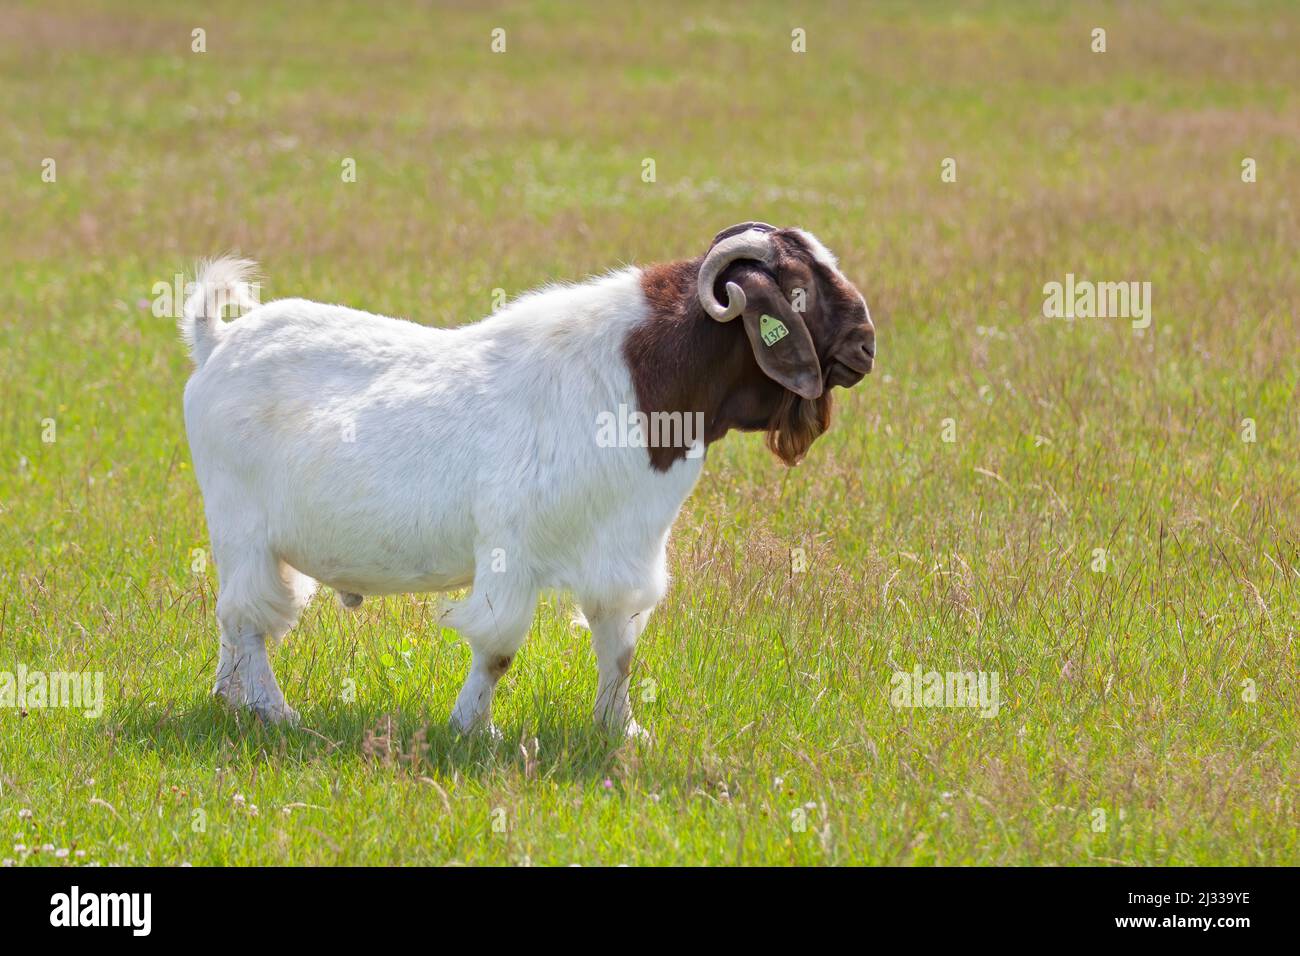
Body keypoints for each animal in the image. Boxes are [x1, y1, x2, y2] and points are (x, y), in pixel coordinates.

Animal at [180, 223, 875, 736]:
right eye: (797, 286)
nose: (866, 347)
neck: (636, 380)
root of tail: (217, 343)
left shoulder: (622, 549)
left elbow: (619, 648)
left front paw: (620, 730)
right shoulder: (510, 550)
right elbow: (497, 647)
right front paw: (472, 729)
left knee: (235, 618)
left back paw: (231, 698)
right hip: (240, 528)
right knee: (244, 616)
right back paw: (276, 712)